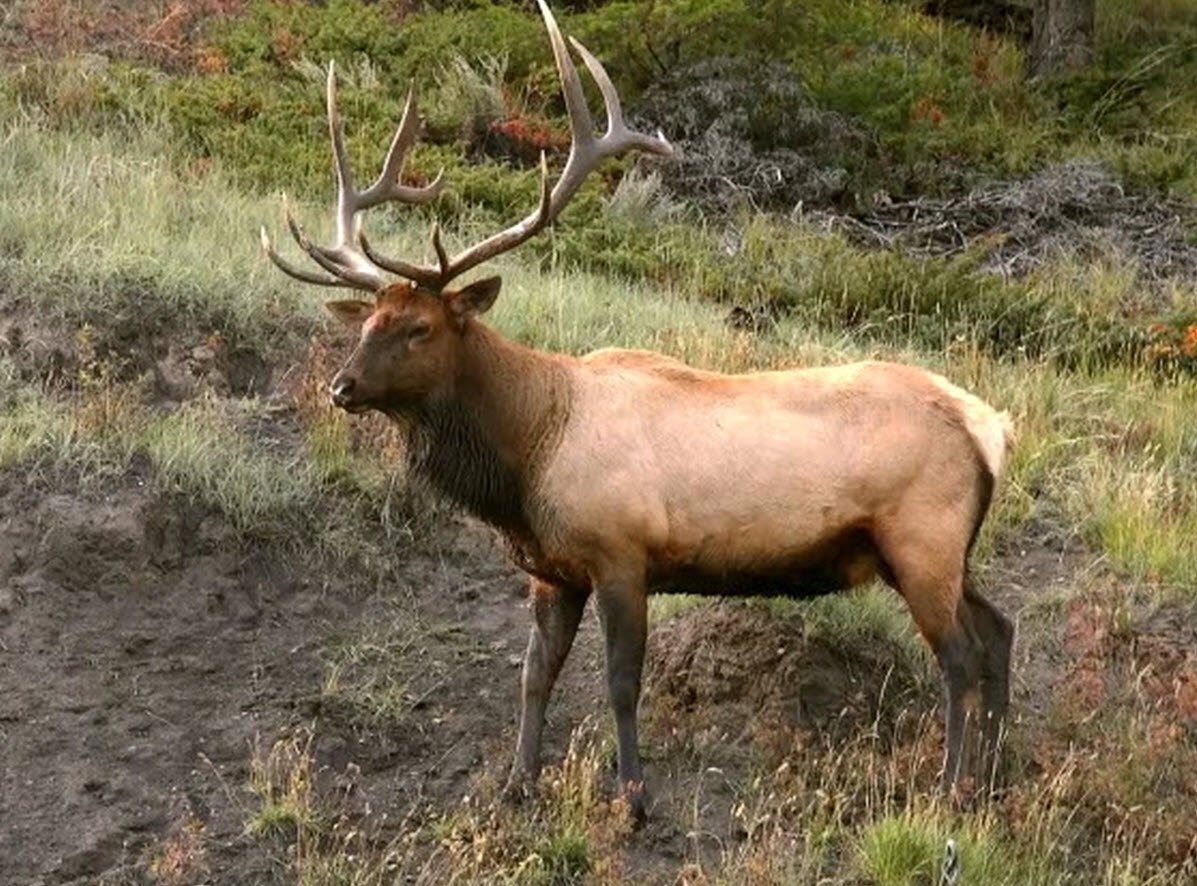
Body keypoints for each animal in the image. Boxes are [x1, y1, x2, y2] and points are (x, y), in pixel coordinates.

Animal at [260, 0, 1015, 820]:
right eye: (366, 322)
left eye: (419, 328)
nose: (342, 388)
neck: (528, 457)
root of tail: (992, 428)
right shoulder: (553, 570)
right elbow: (533, 676)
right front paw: (518, 784)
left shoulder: (621, 550)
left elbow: (622, 683)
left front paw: (633, 792)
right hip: (943, 547)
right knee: (1000, 629)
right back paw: (999, 772)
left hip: (920, 536)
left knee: (960, 657)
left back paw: (953, 787)